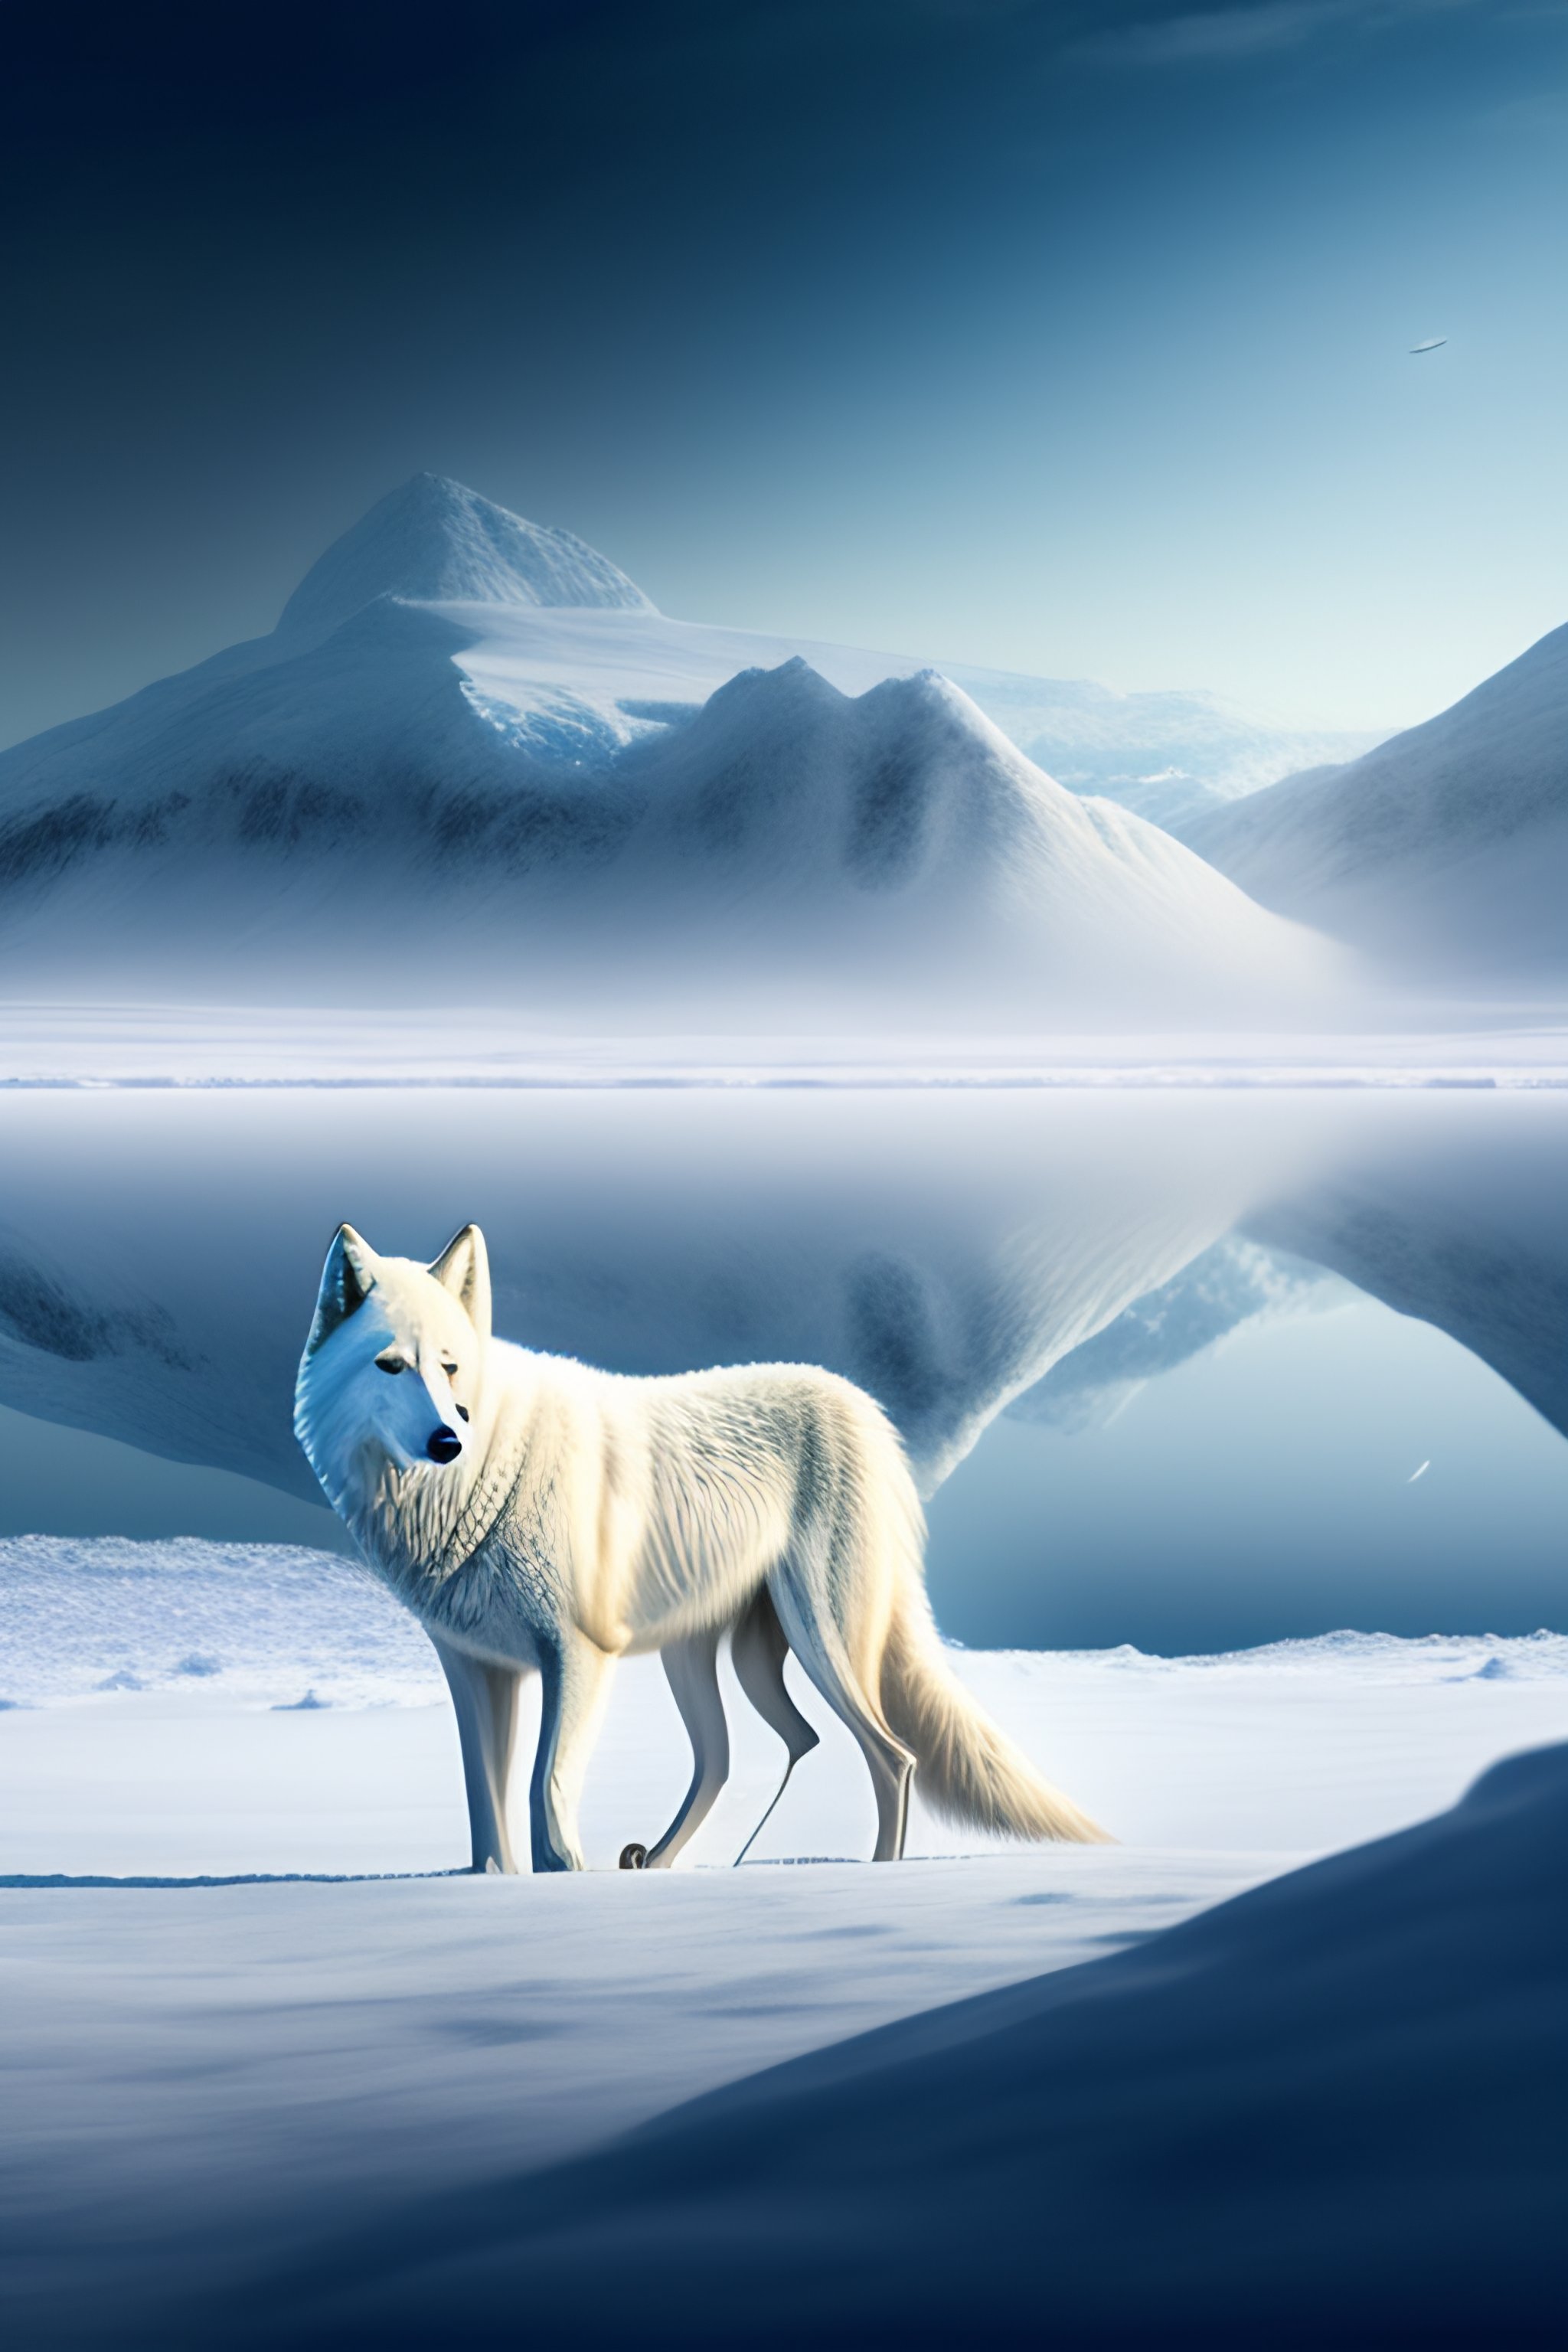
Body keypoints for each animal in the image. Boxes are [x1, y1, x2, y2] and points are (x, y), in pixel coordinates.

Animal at [294, 1221, 1106, 1872]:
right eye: (391, 1365)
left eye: (451, 1365)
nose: (448, 1440)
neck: (481, 1481)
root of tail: (863, 1405)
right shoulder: (475, 1669)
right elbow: (485, 1815)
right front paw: (495, 1892)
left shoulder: (577, 1656)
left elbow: (543, 1796)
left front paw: (563, 1888)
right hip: (713, 1657)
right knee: (758, 1752)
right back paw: (673, 1865)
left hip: (819, 1639)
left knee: (890, 1756)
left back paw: (871, 1877)